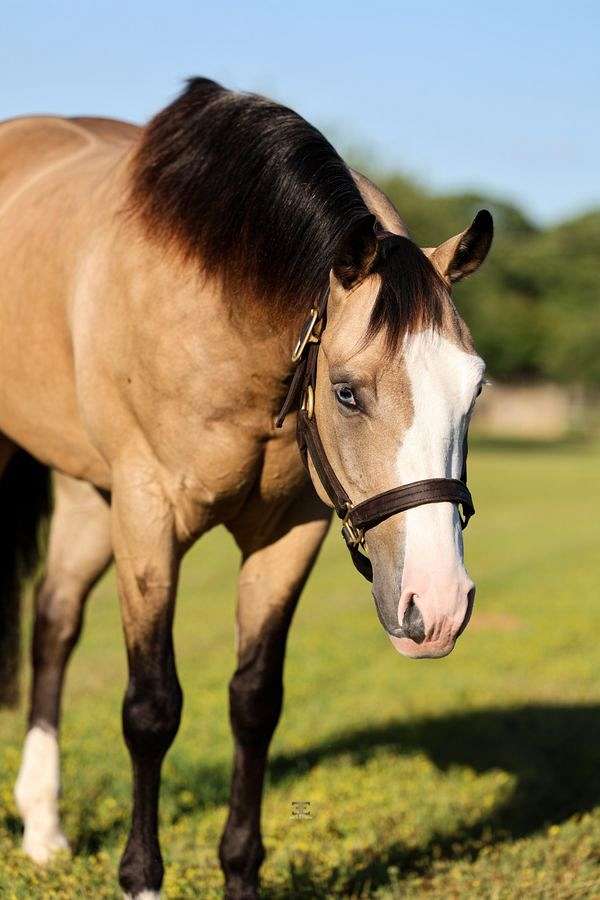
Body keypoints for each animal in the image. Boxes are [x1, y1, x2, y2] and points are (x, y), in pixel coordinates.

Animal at [0, 77, 493, 898]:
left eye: (476, 389)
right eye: (348, 392)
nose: (441, 606)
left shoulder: (288, 531)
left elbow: (255, 702)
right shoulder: (148, 515)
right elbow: (152, 708)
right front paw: (141, 877)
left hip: (87, 491)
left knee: (55, 620)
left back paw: (43, 827)